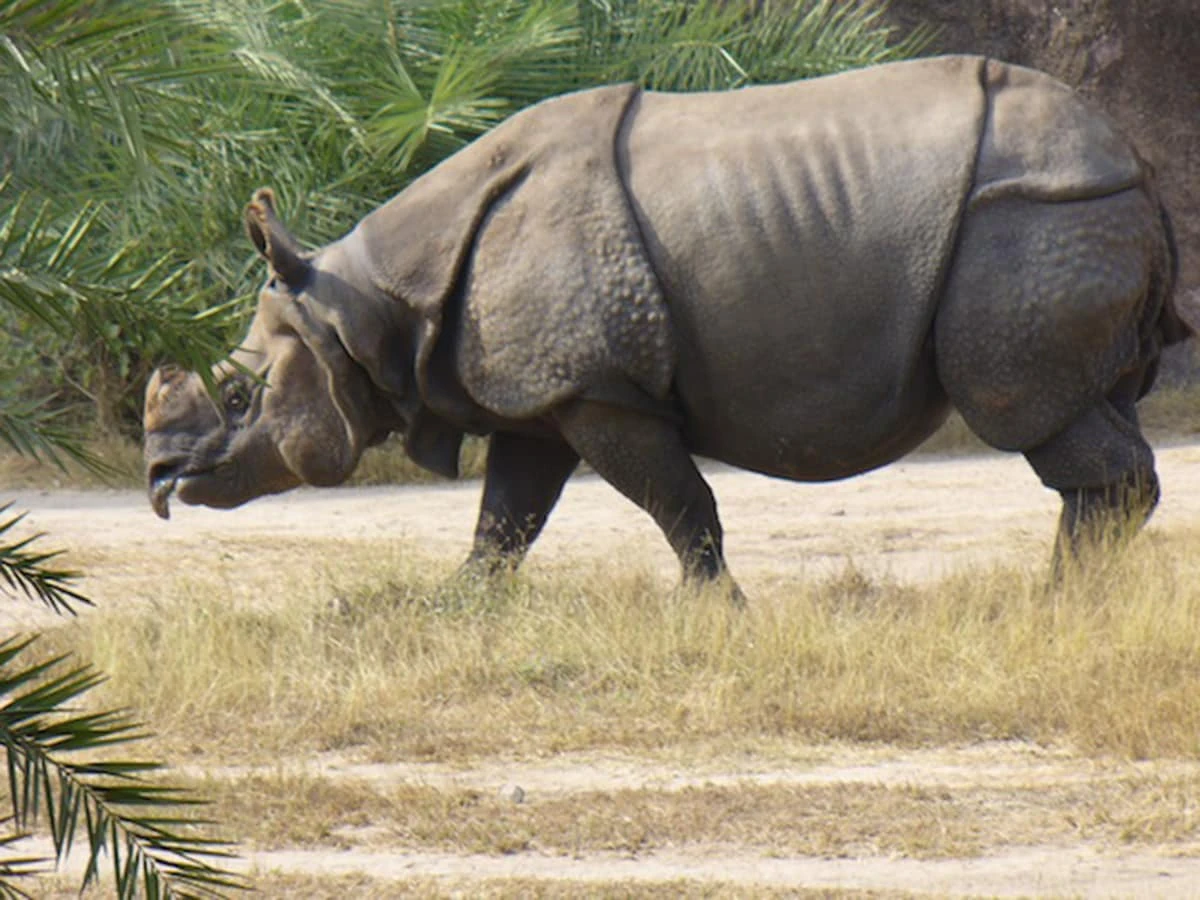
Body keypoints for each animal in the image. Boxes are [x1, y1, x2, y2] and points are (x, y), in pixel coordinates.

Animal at [144, 55, 1189, 597]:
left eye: (235, 396)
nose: (159, 481)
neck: (371, 305)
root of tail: (1135, 158)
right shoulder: (545, 389)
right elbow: (506, 518)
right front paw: (460, 609)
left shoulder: (599, 389)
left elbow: (679, 503)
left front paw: (715, 612)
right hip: (1061, 213)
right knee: (1093, 412)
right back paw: (1085, 598)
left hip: (1033, 216)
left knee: (1029, 410)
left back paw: (1058, 604)